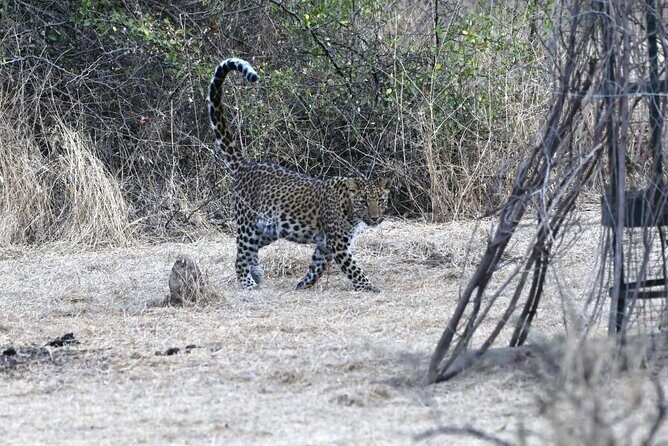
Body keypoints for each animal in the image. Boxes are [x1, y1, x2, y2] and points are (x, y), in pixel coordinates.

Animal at [208, 58, 389, 292]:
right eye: (364, 202)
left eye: (381, 201)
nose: (375, 218)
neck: (350, 210)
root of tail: (246, 165)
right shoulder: (338, 243)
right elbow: (354, 268)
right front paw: (369, 287)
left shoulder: (325, 245)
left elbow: (317, 267)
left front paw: (302, 285)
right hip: (248, 224)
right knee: (241, 256)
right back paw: (248, 283)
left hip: (269, 229)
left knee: (249, 252)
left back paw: (256, 273)